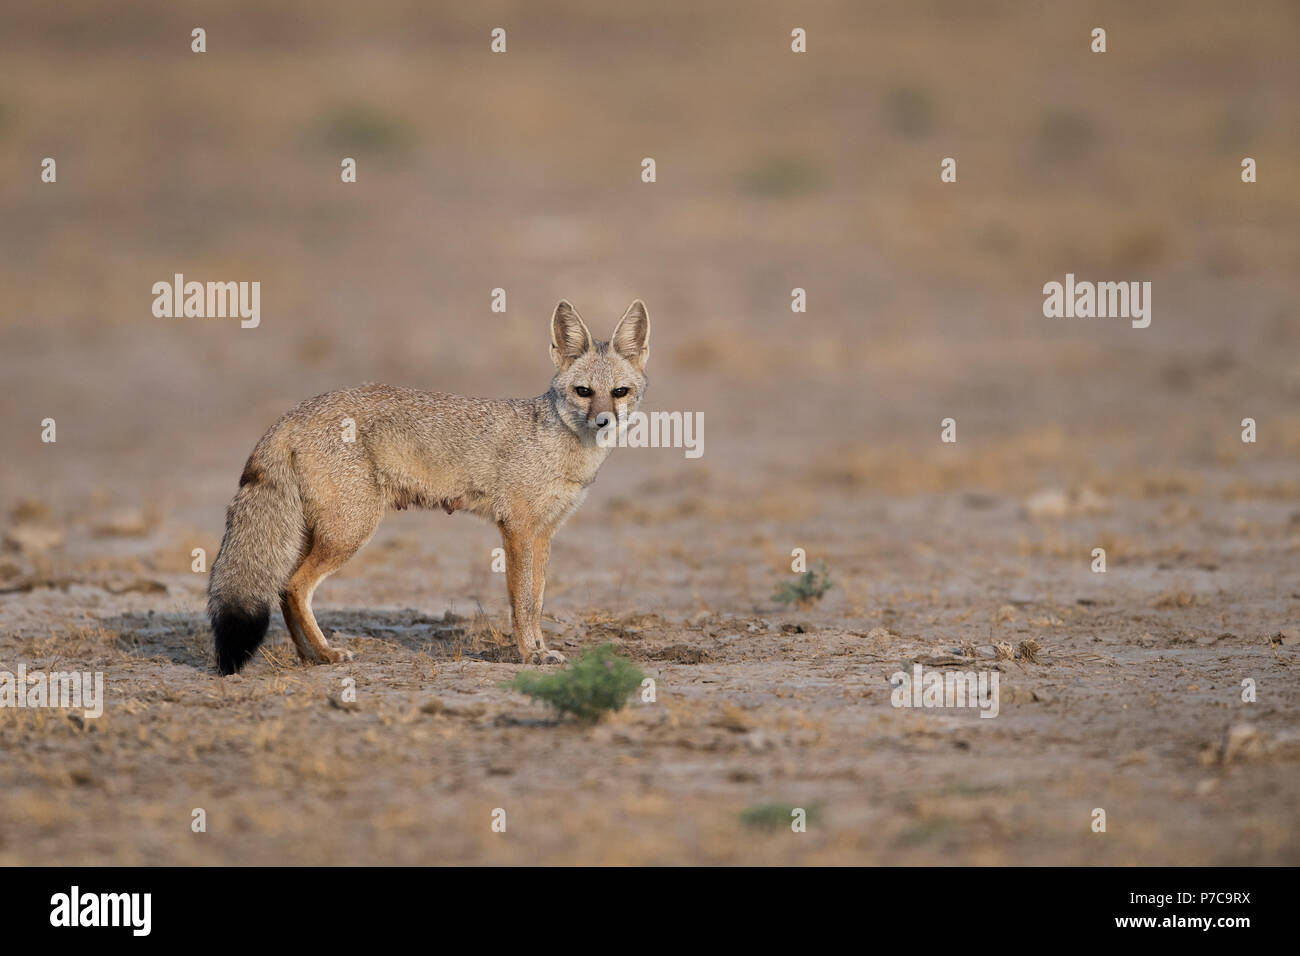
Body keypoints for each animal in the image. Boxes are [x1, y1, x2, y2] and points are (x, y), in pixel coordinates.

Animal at [207, 299, 650, 675]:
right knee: (296, 586)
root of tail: (292, 414)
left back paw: (310, 656)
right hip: (349, 532)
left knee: (282, 589)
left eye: (619, 393)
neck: (559, 445)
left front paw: (541, 649)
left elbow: (537, 601)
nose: (604, 421)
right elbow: (523, 604)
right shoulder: (518, 530)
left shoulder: (543, 534)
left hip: (317, 534)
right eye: (583, 392)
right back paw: (328, 653)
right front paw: (530, 656)